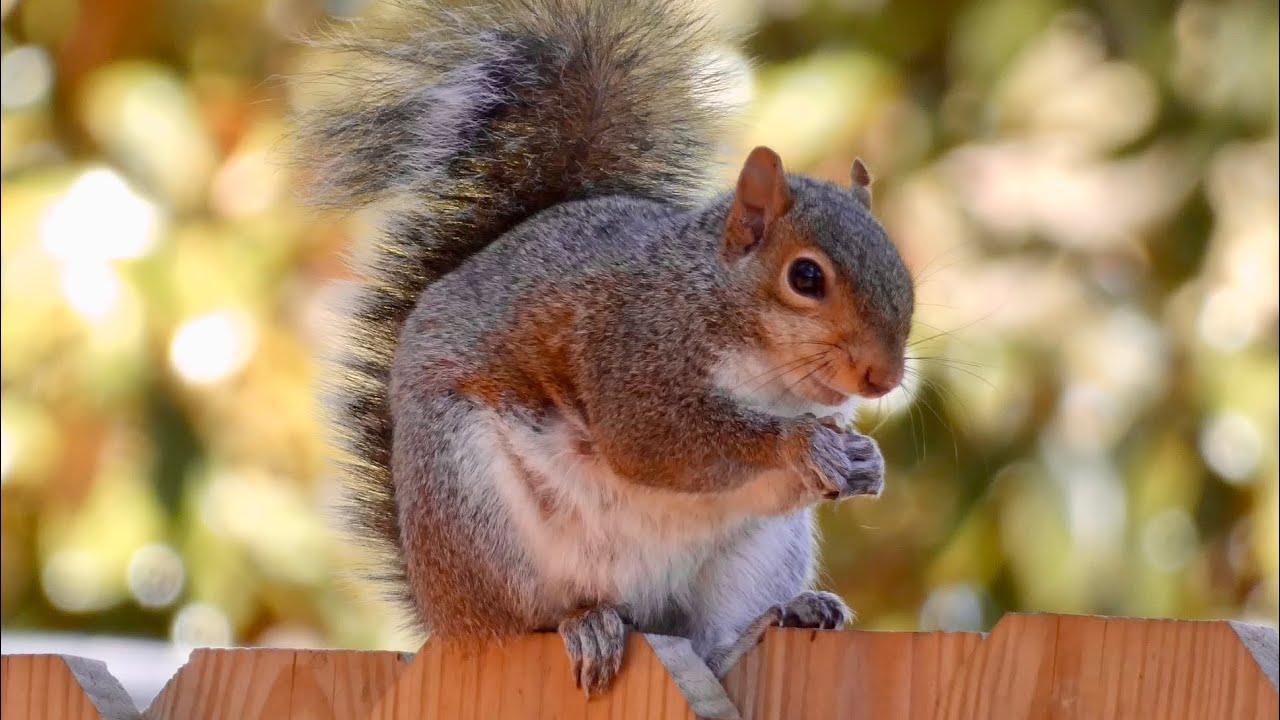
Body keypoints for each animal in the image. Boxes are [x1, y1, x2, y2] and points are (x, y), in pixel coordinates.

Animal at [295, 0, 914, 694]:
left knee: (715, 646)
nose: (885, 378)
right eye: (805, 277)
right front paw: (798, 444)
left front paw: (865, 462)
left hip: (755, 557)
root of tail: (438, 611)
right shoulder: (630, 349)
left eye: (902, 269)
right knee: (520, 624)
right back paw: (584, 624)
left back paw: (787, 613)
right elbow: (654, 442)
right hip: (471, 506)